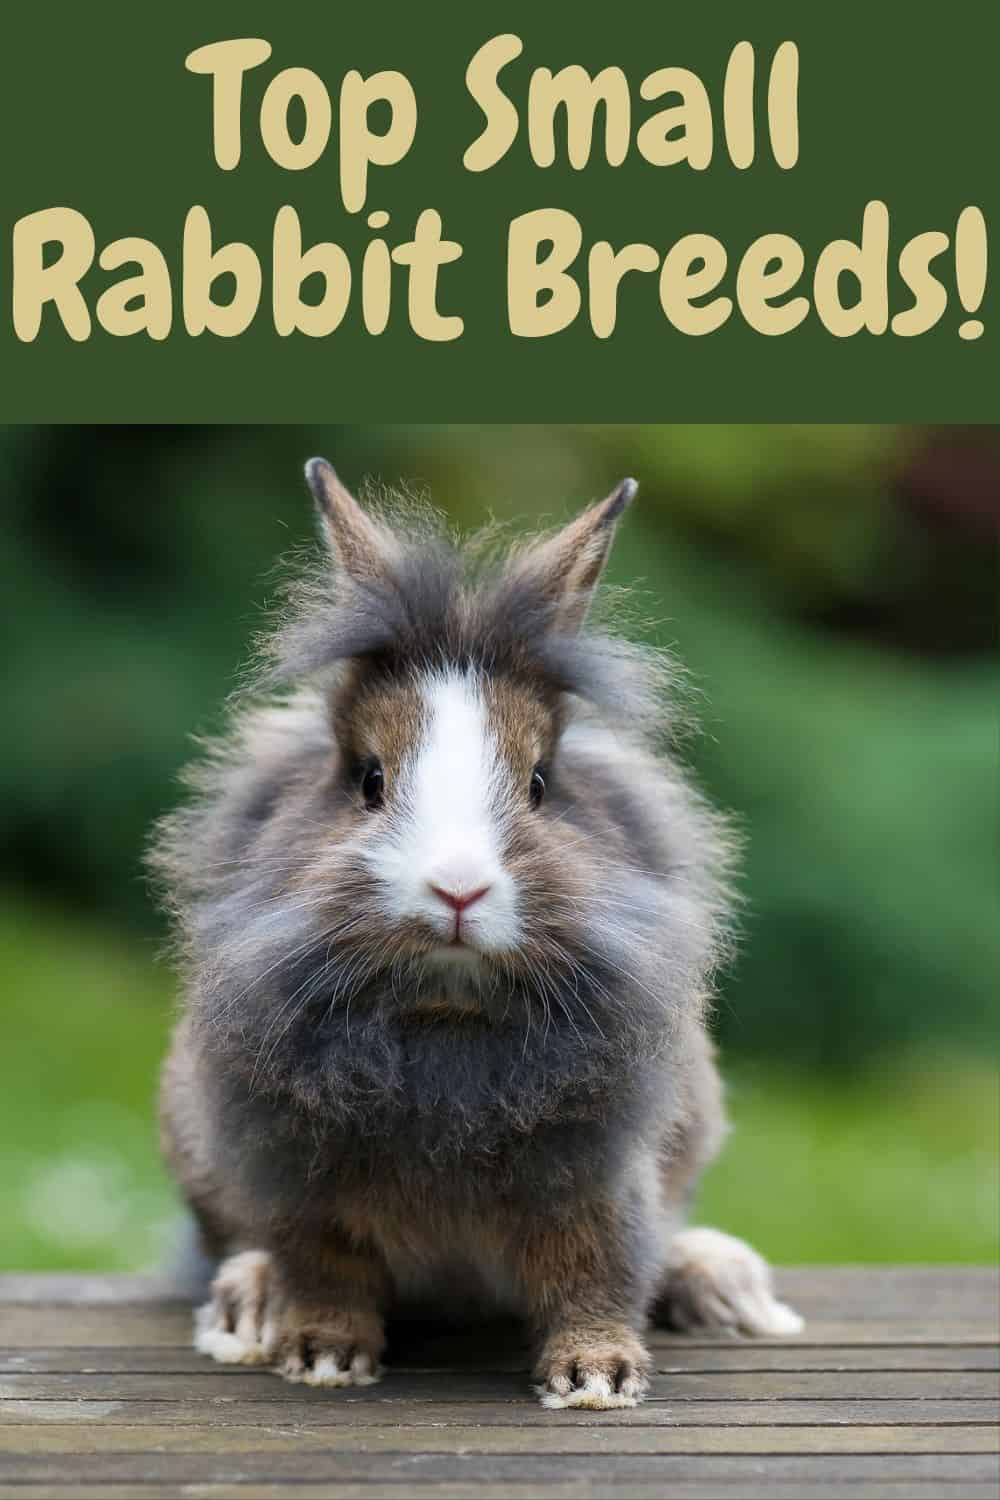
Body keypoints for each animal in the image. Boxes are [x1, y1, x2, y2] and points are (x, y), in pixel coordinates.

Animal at [152, 458, 802, 1411]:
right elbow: (326, 1267)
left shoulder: (596, 1174)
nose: (458, 888)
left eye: (538, 784)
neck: (445, 1015)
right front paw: (322, 1357)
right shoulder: (303, 1172)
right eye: (369, 781)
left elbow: (597, 1271)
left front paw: (597, 1377)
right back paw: (251, 1303)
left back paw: (724, 1285)